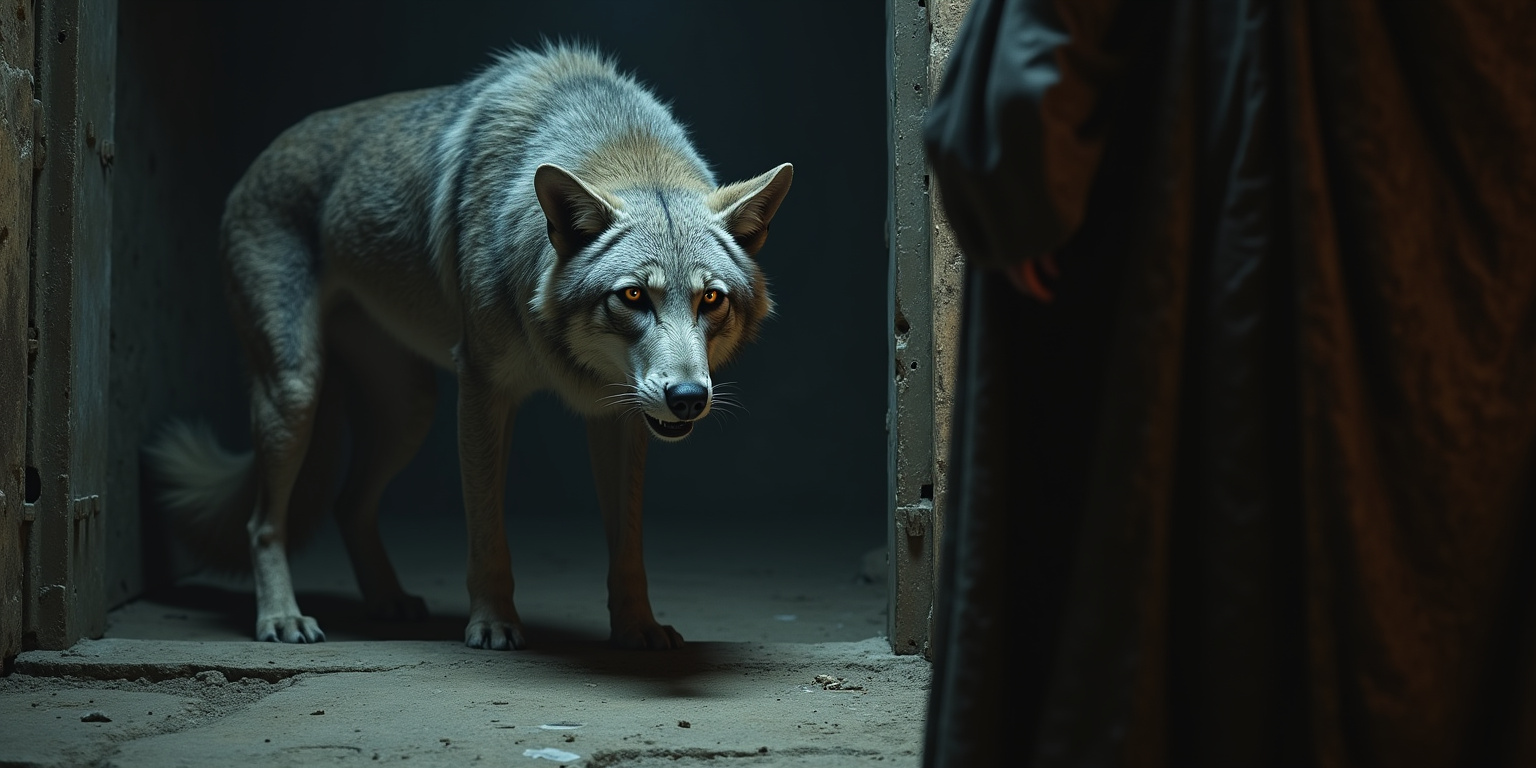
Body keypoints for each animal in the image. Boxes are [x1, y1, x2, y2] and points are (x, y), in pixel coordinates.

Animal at [146, 43, 792, 651]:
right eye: (633, 295)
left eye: (711, 300)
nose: (687, 397)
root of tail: (257, 159)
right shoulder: (482, 393)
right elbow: (487, 535)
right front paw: (493, 625)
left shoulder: (620, 417)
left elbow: (628, 548)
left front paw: (638, 629)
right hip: (298, 393)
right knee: (262, 522)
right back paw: (282, 618)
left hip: (409, 412)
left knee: (347, 503)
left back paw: (388, 601)